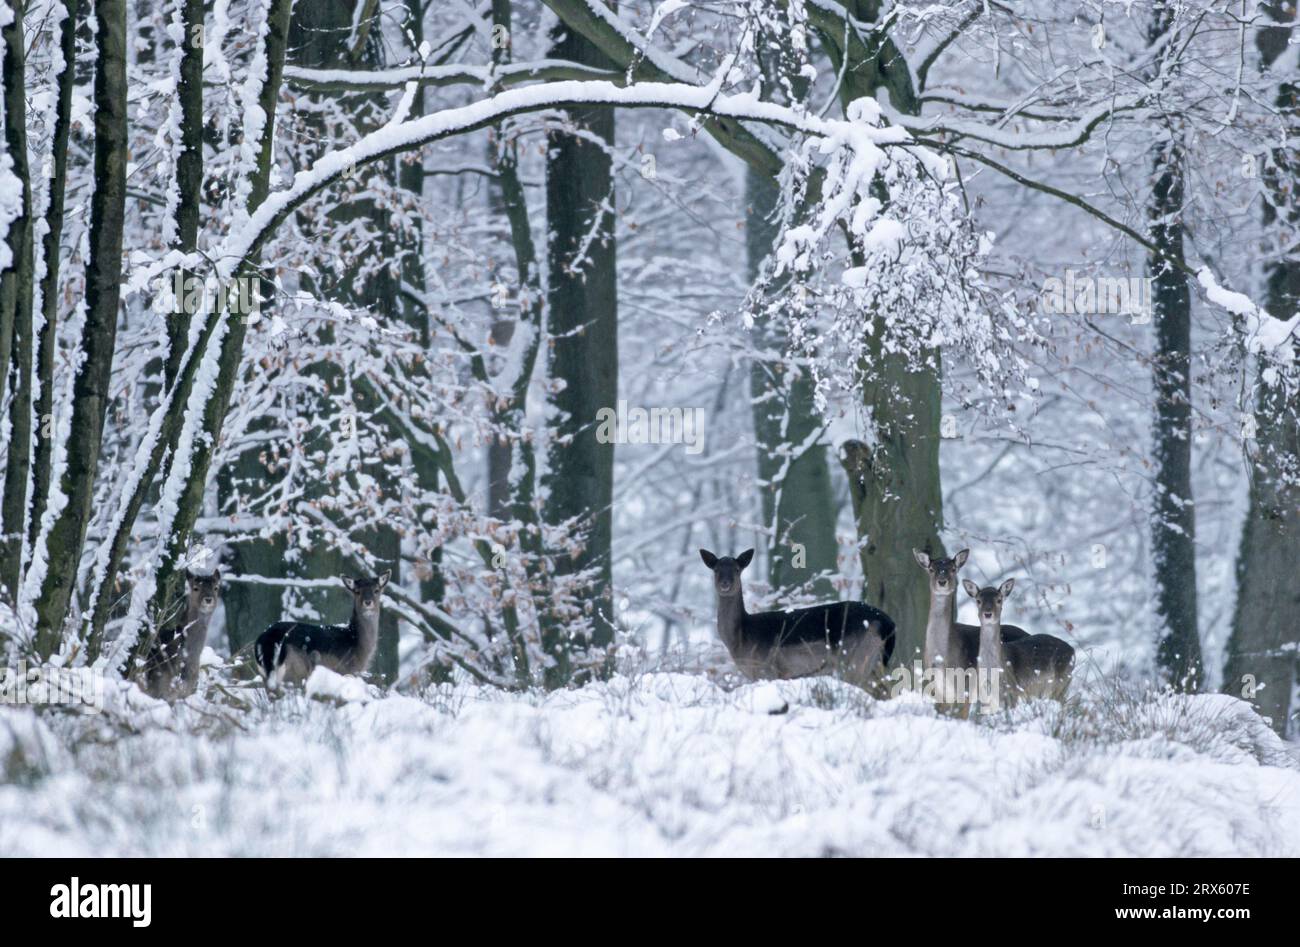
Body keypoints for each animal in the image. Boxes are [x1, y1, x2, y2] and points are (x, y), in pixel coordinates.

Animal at [254, 571, 390, 690]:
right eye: (357, 591)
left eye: (376, 590)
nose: (368, 602)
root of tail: (265, 641)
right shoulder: (346, 669)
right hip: (293, 670)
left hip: (266, 673)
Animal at [700, 549, 895, 688]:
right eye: (716, 569)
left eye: (737, 569)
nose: (725, 583)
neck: (742, 639)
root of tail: (889, 623)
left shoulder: (767, 670)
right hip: (875, 663)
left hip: (856, 660)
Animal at [963, 578, 1074, 706]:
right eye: (978, 600)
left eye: (999, 600)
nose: (988, 613)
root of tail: (1073, 651)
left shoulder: (1012, 689)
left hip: (1061, 683)